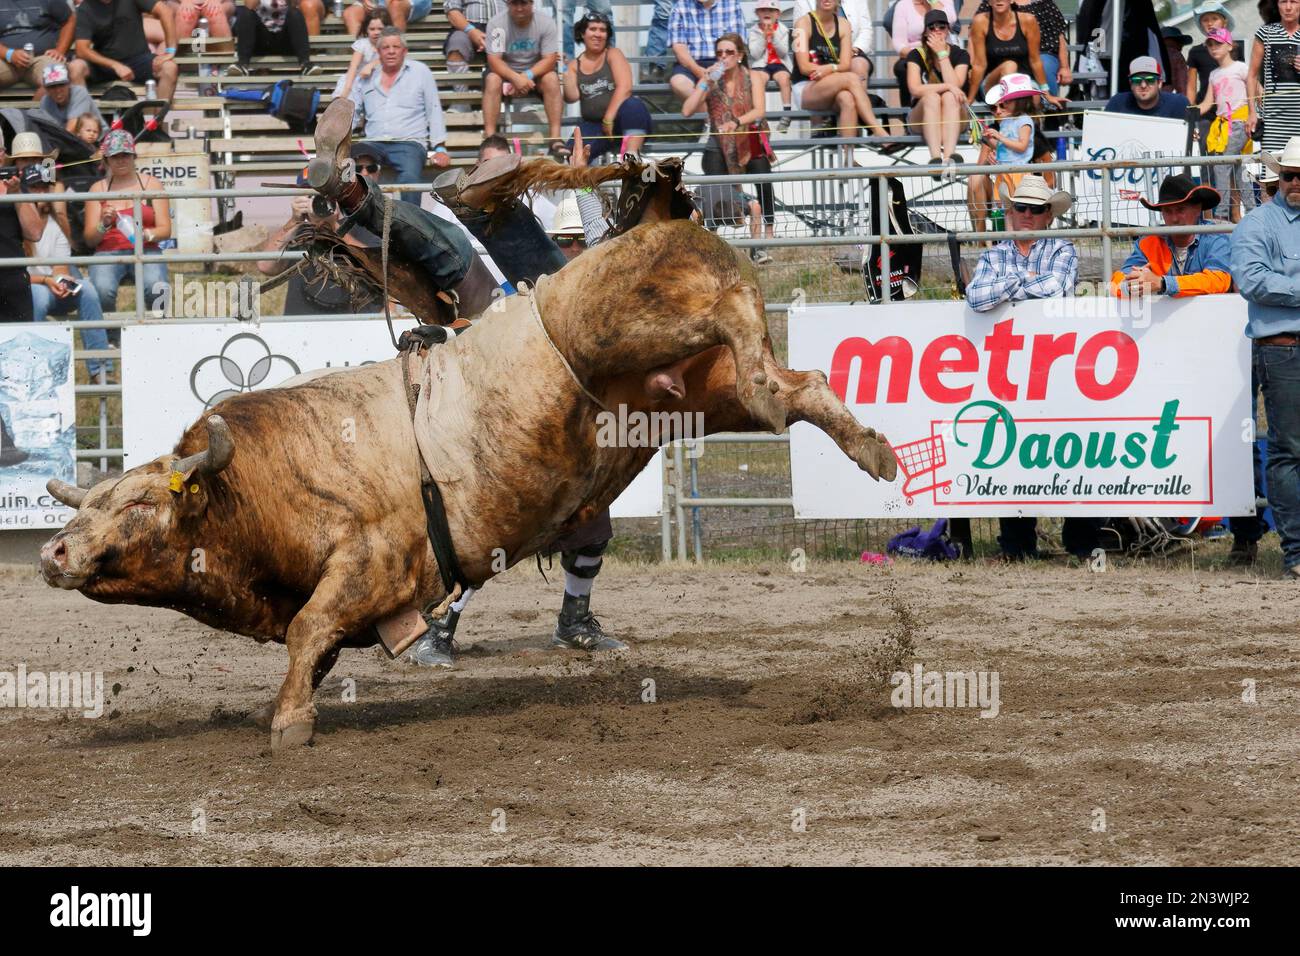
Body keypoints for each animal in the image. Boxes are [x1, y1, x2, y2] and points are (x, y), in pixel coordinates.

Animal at [40, 216, 898, 751]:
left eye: (139, 501)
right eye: (92, 503)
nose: (54, 553)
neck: (256, 485)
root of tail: (677, 228)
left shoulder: (372, 561)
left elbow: (308, 630)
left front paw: (288, 727)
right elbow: (315, 646)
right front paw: (302, 703)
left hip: (625, 332)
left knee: (744, 327)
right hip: (695, 393)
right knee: (790, 387)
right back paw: (872, 449)